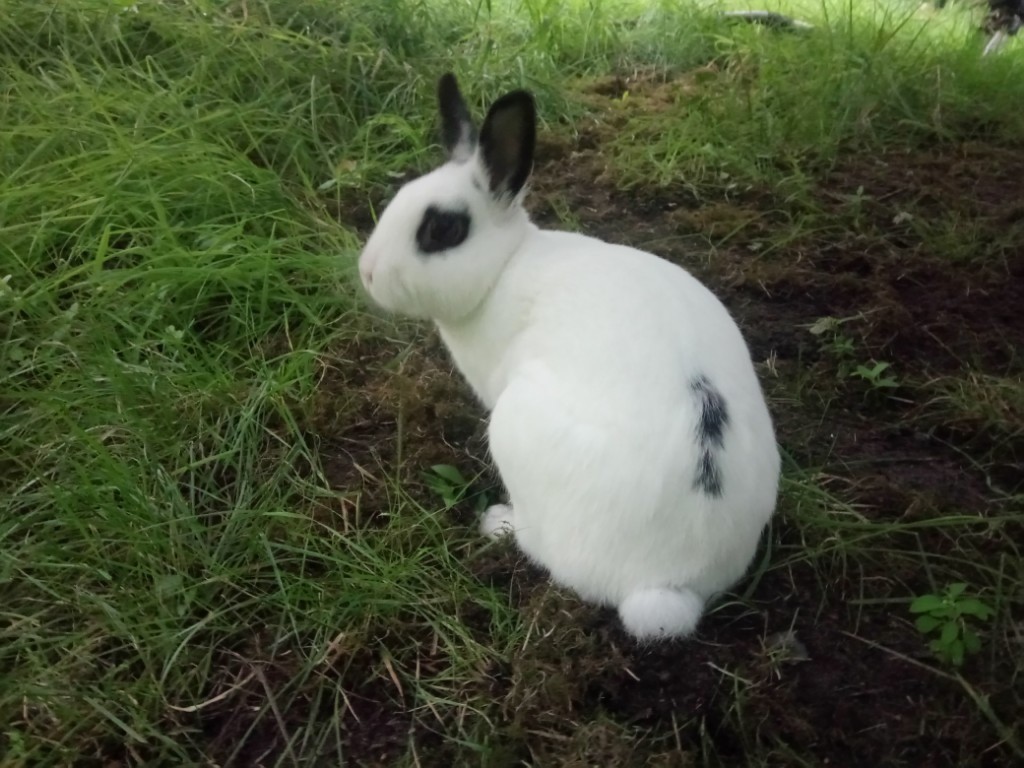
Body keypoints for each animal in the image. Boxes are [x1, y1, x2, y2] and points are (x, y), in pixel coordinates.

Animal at [358, 73, 780, 640]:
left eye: (443, 230)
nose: (368, 273)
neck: (505, 267)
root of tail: (672, 582)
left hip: (513, 428)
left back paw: (497, 522)